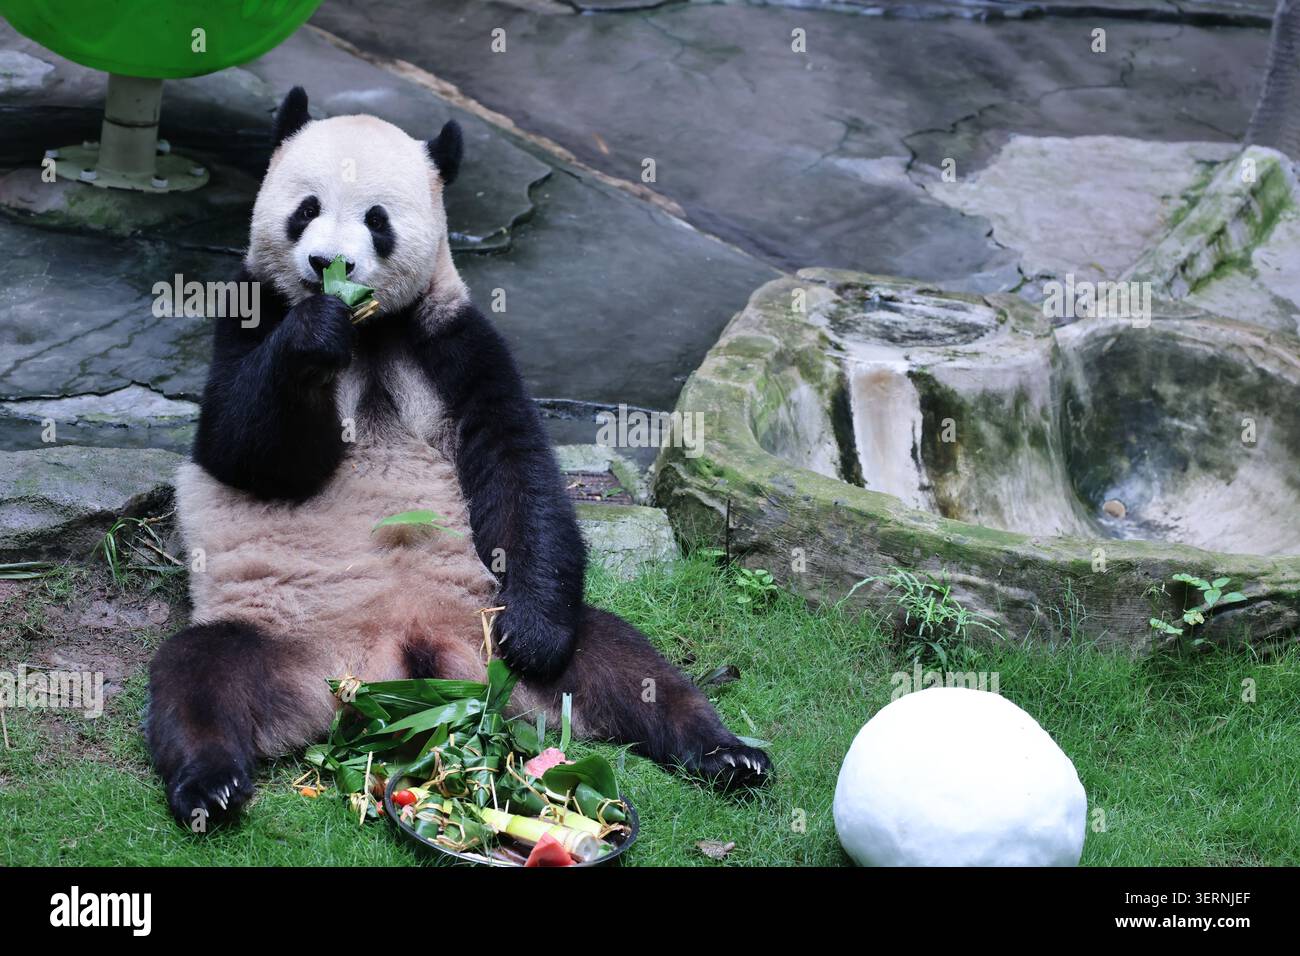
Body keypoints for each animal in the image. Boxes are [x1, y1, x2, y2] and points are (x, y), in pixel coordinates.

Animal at [146, 87, 771, 826]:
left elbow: (515, 460)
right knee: (198, 675)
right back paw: (210, 786)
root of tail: (407, 668)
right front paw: (313, 334)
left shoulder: (455, 339)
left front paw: (533, 634)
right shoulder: (248, 310)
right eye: (305, 209)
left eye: (377, 220)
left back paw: (725, 752)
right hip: (285, 636)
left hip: (484, 620)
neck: (369, 331)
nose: (327, 265)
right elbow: (243, 452)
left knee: (621, 658)